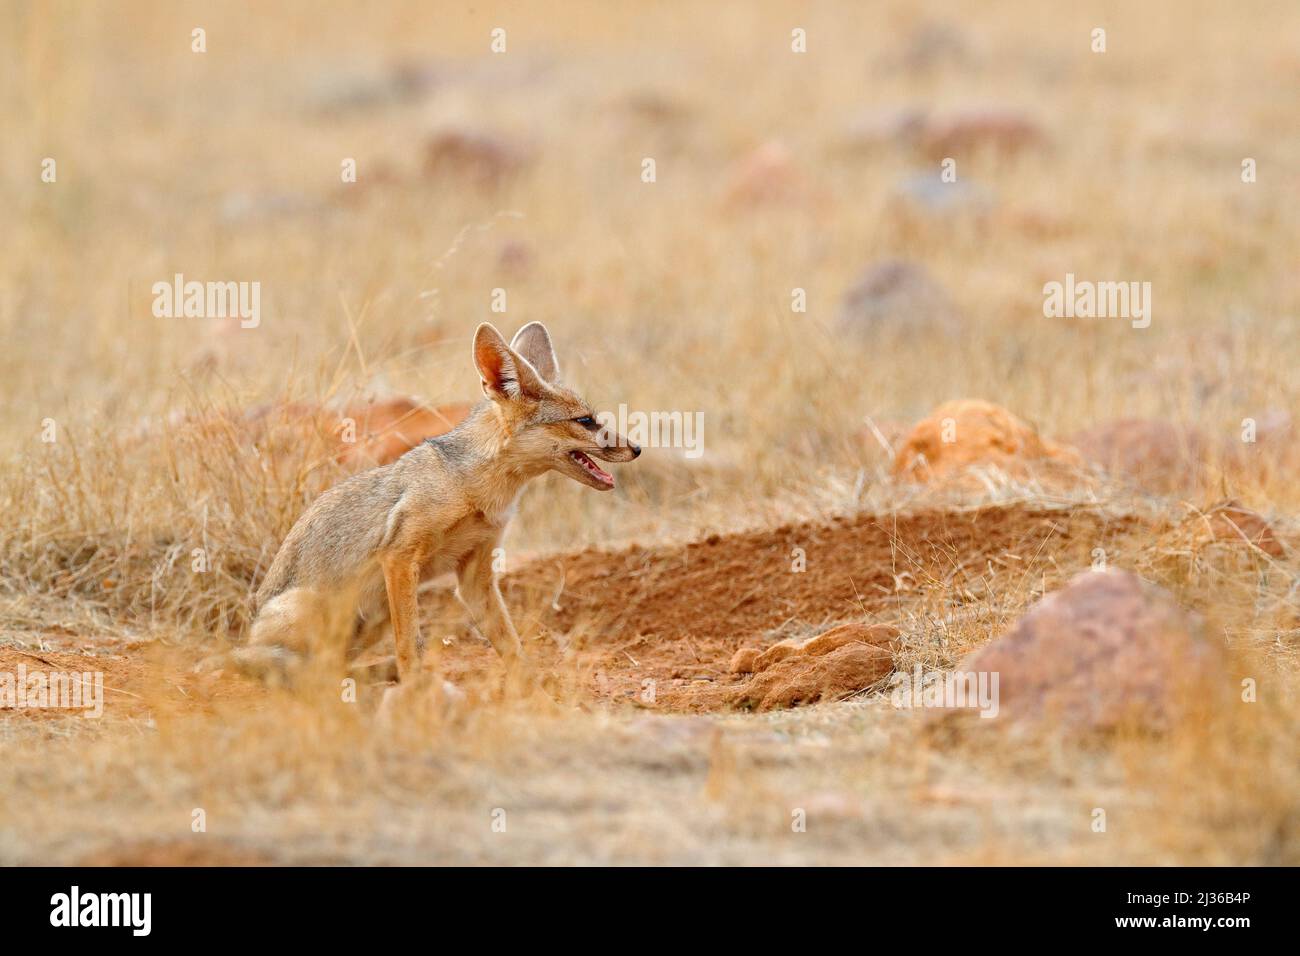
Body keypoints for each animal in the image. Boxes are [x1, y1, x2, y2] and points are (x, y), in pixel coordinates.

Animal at [234, 321, 640, 689]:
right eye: (585, 421)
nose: (636, 448)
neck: (481, 490)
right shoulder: (398, 557)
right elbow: (409, 643)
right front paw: (416, 689)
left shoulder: (475, 577)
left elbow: (511, 644)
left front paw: (534, 690)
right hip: (325, 608)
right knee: (303, 667)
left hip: (373, 615)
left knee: (334, 665)